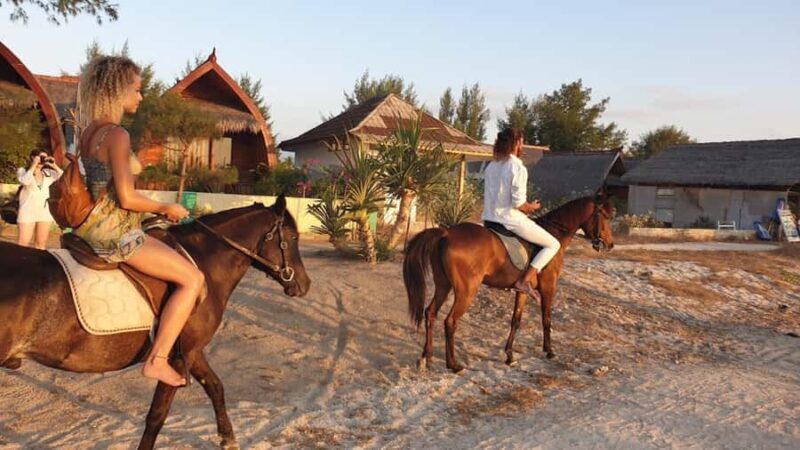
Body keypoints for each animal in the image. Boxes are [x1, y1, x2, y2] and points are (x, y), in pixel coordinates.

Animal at [0, 195, 311, 449]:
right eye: (293, 238)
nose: (305, 285)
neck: (203, 265)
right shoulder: (175, 359)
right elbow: (156, 418)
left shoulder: (192, 352)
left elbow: (216, 387)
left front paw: (228, 439)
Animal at [403, 194, 615, 373]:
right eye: (604, 216)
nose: (610, 244)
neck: (555, 232)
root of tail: (446, 233)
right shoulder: (549, 287)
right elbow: (546, 319)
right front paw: (549, 351)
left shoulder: (522, 291)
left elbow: (516, 320)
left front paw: (510, 356)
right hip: (466, 291)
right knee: (450, 321)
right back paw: (453, 365)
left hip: (443, 285)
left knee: (430, 313)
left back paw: (426, 358)